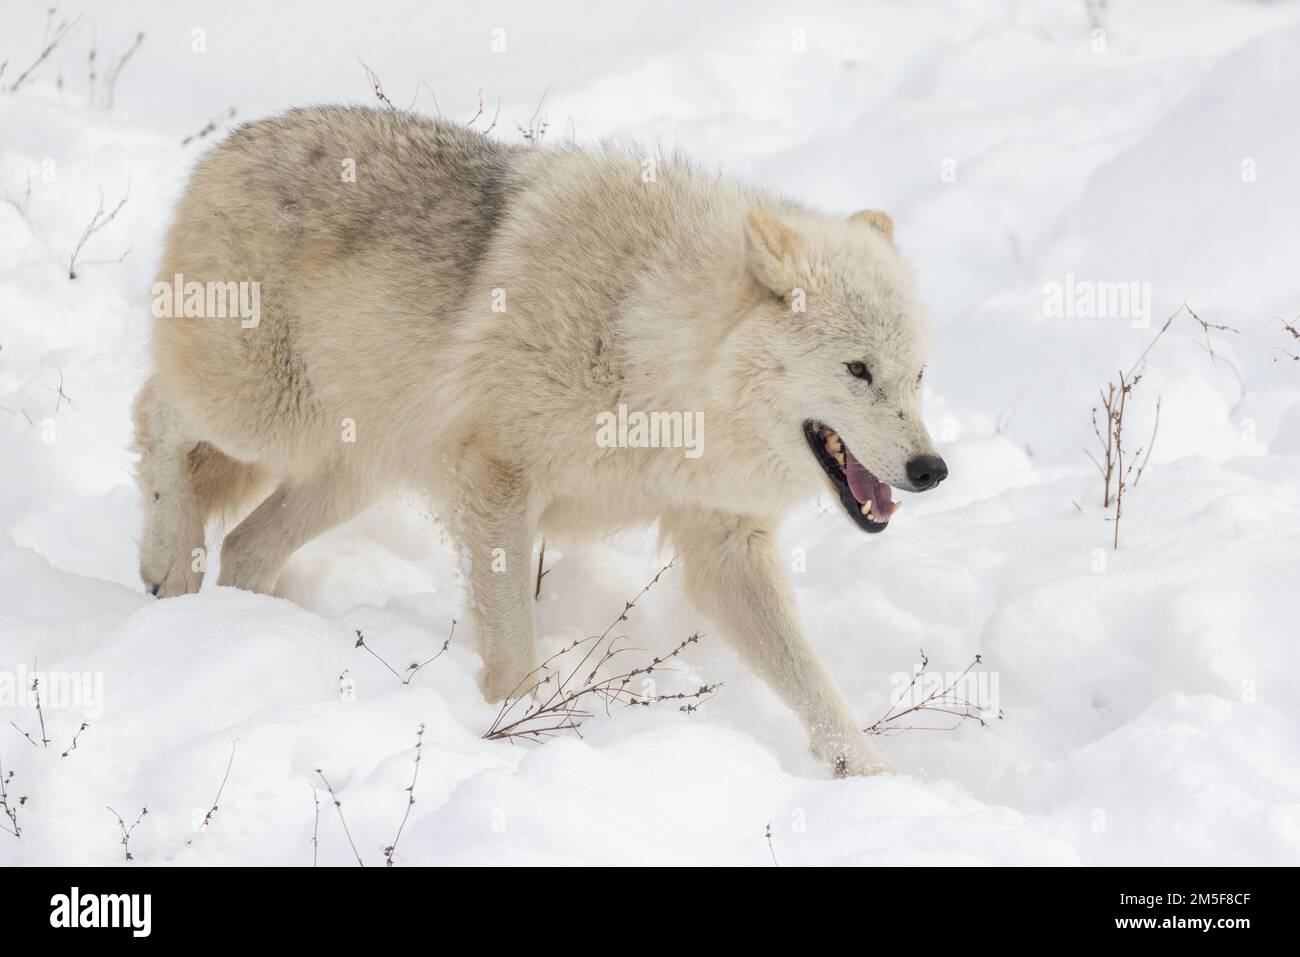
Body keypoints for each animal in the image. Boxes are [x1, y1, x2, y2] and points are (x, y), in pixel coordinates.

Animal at [133, 106, 948, 776]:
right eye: (857, 369)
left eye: (917, 376)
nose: (932, 469)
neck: (645, 334)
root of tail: (226, 144)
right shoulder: (498, 482)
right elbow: (514, 640)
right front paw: (516, 728)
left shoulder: (726, 541)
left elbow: (813, 680)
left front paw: (870, 775)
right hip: (261, 416)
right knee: (154, 411)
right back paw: (169, 560)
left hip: (349, 471)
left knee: (246, 546)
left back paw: (252, 626)